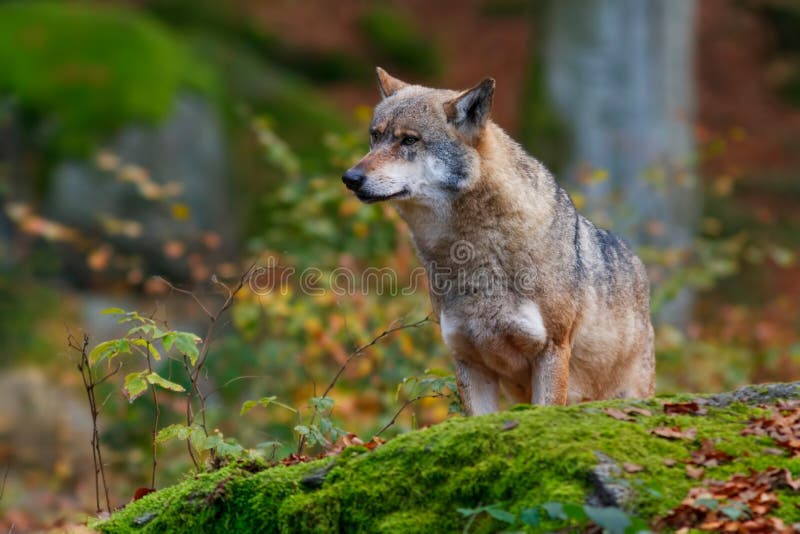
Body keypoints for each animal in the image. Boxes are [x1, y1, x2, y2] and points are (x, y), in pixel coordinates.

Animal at [342, 67, 655, 415]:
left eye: (409, 140)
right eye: (375, 136)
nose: (350, 178)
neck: (474, 254)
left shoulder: (552, 350)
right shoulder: (467, 359)